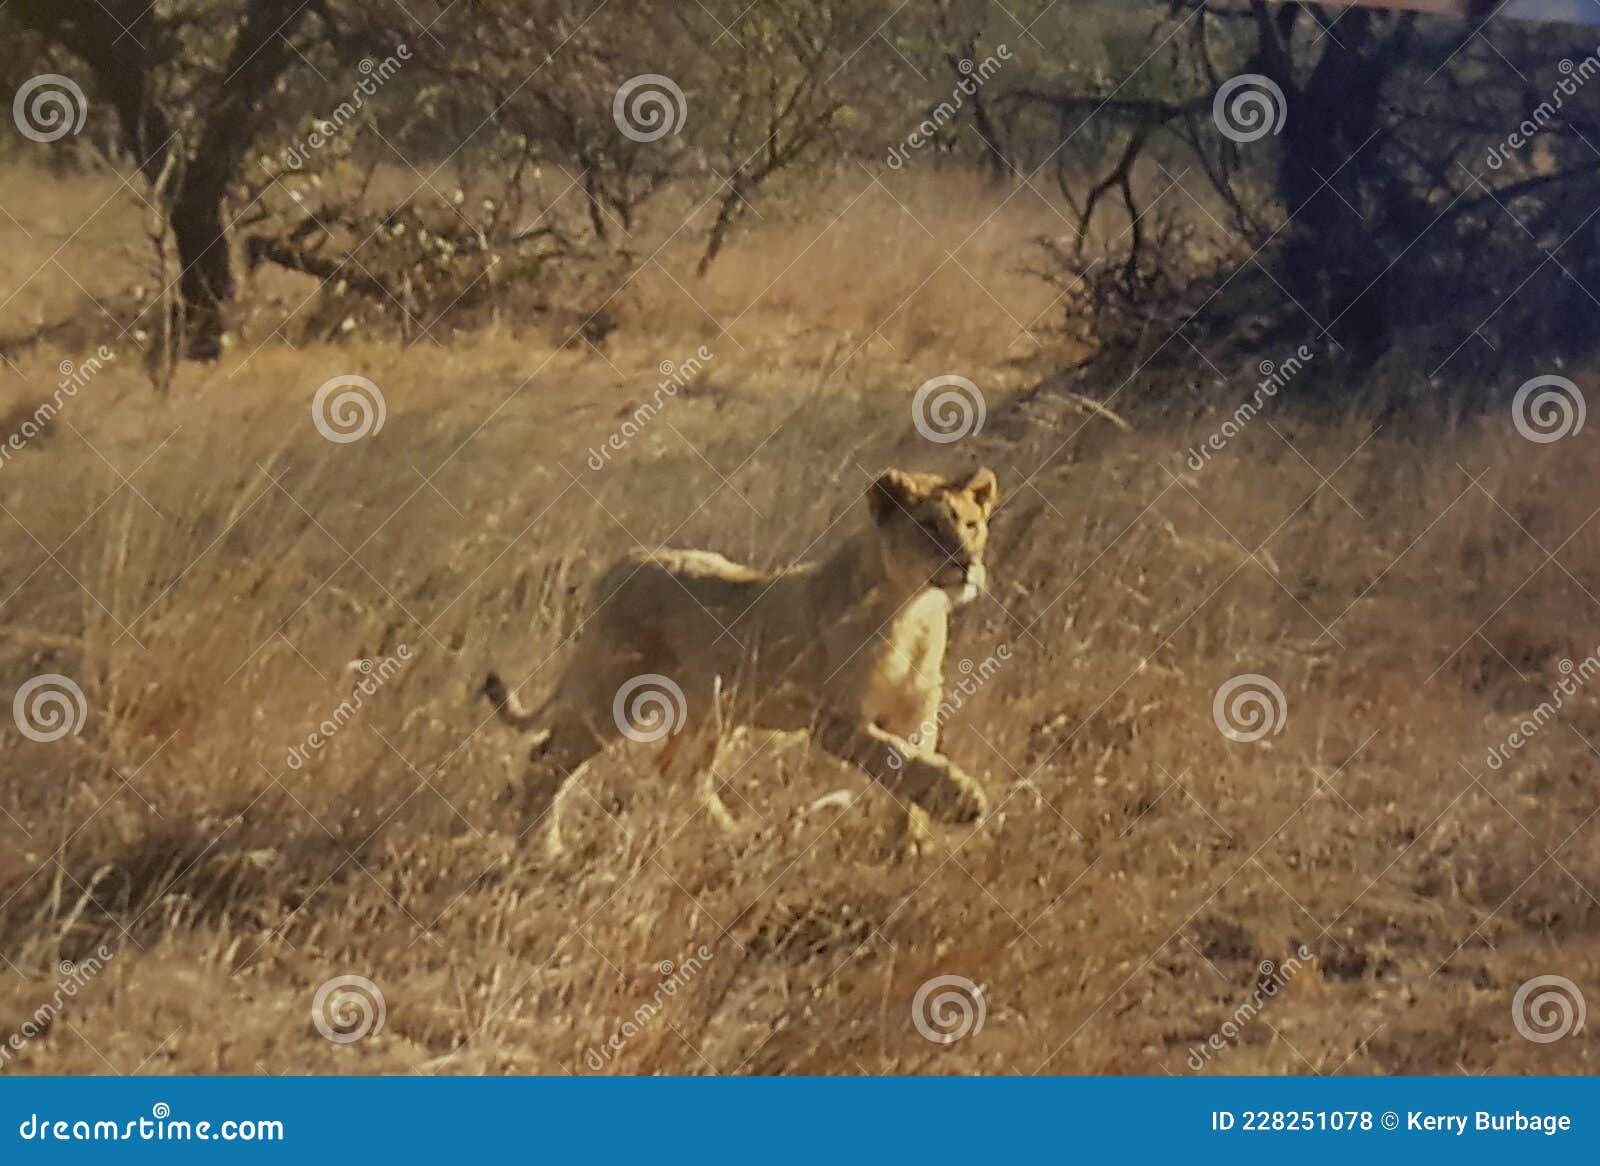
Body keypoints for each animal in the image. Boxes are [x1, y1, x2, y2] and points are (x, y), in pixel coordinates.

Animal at [482, 466, 1000, 855]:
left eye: (972, 524)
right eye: (929, 527)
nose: (967, 563)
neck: (916, 609)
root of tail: (618, 566)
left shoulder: (915, 712)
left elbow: (910, 767)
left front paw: (907, 843)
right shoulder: (834, 722)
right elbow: (898, 760)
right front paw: (963, 801)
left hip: (705, 713)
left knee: (676, 771)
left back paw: (729, 833)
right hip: (613, 697)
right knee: (548, 756)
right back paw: (542, 847)